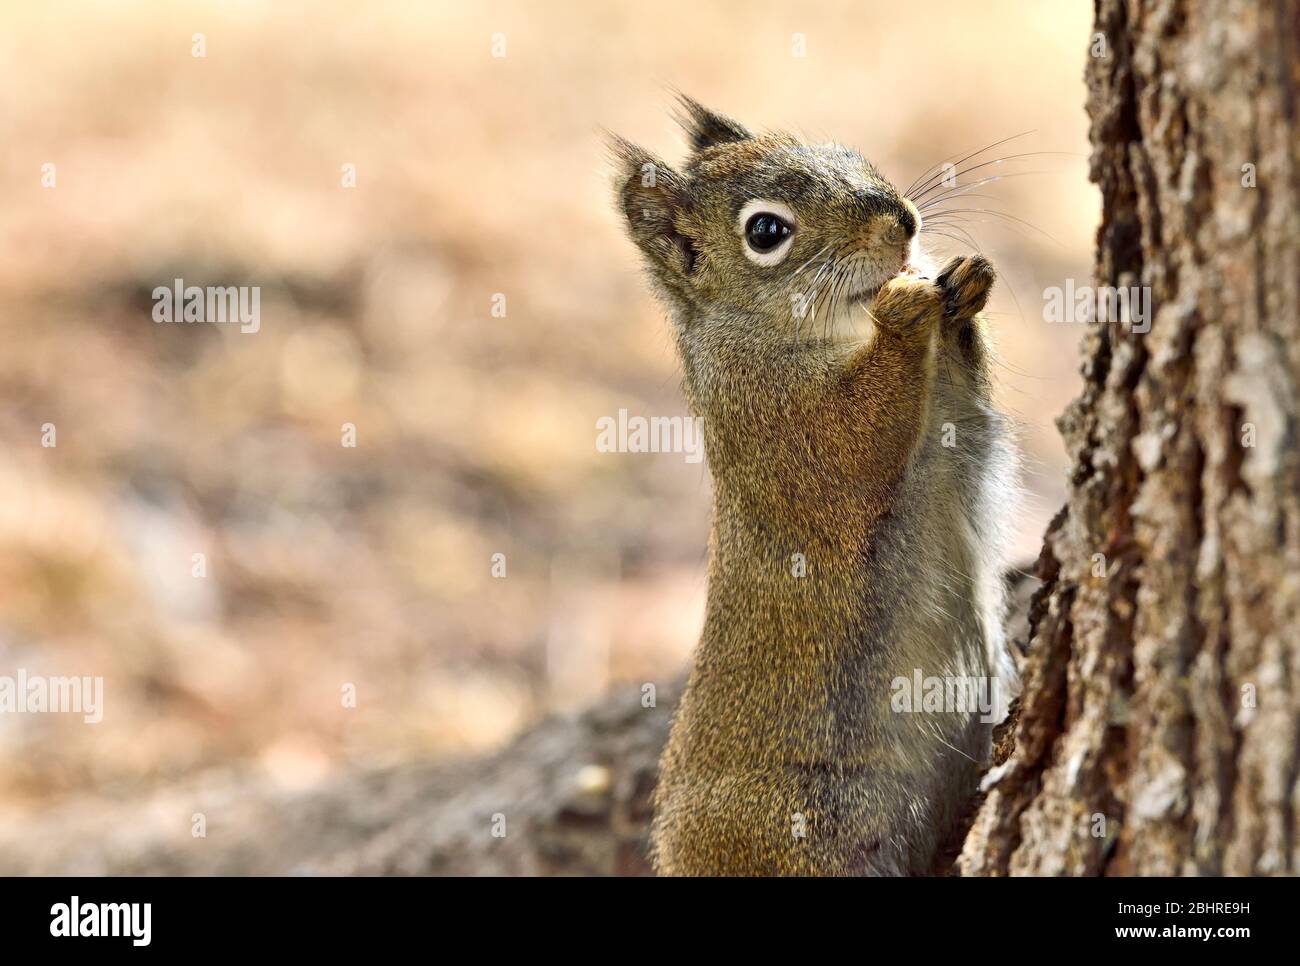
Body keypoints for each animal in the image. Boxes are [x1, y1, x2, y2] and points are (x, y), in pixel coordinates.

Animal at [611, 97, 1021, 876]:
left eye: (848, 151)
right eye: (766, 232)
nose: (902, 223)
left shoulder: (950, 412)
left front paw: (962, 283)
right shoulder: (782, 430)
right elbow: (860, 440)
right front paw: (906, 310)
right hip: (796, 834)